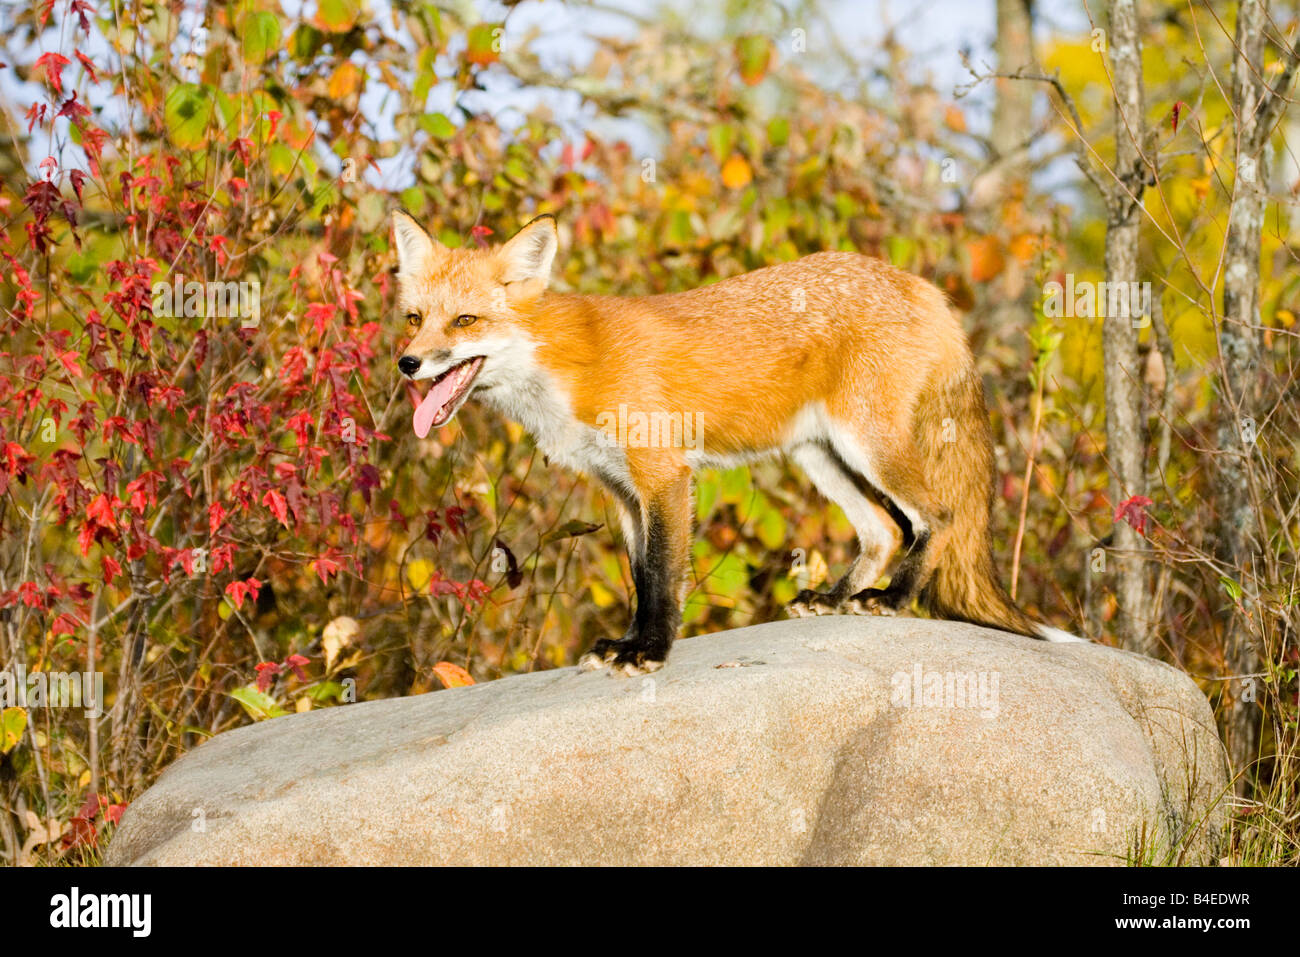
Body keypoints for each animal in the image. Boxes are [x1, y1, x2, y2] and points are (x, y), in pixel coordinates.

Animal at [392, 210, 1085, 675]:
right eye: (414, 319)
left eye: (465, 321)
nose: (406, 364)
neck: (565, 365)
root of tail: (923, 286)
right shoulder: (622, 490)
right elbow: (641, 578)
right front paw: (628, 643)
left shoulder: (665, 475)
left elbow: (663, 577)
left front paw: (650, 653)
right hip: (821, 457)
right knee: (885, 530)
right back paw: (835, 598)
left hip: (869, 445)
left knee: (936, 515)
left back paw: (891, 599)